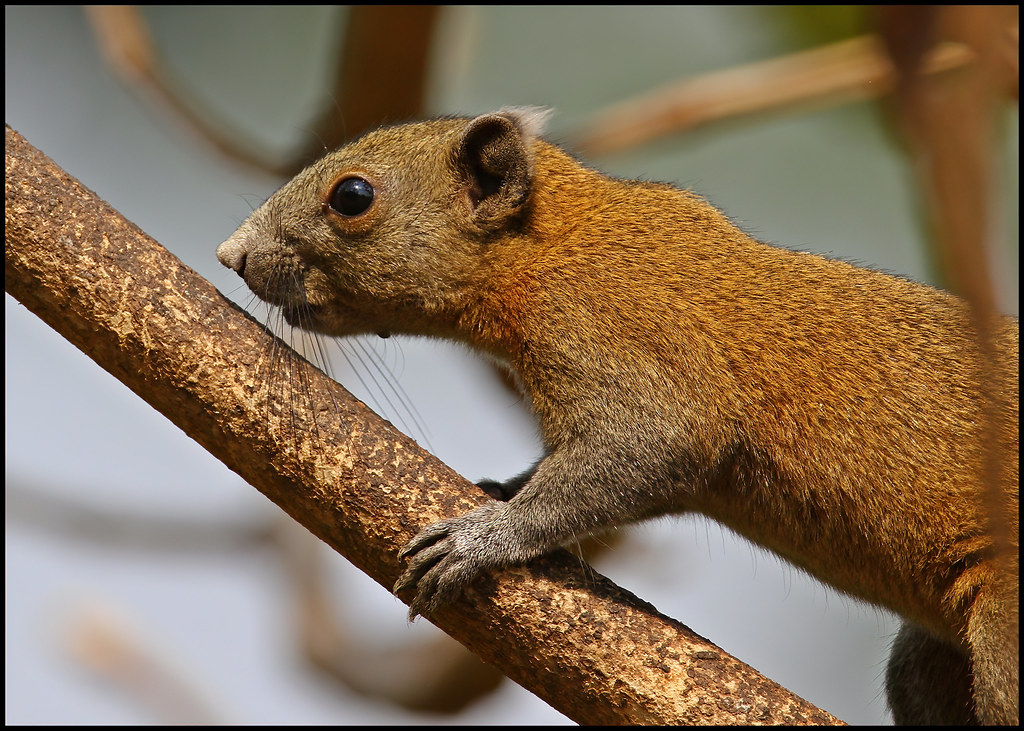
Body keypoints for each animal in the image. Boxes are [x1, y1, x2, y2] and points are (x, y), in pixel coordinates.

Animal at [216, 108, 1018, 724]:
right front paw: (503, 489)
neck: (554, 246)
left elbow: (645, 451)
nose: (232, 254)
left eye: (352, 195)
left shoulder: (625, 343)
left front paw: (484, 536)